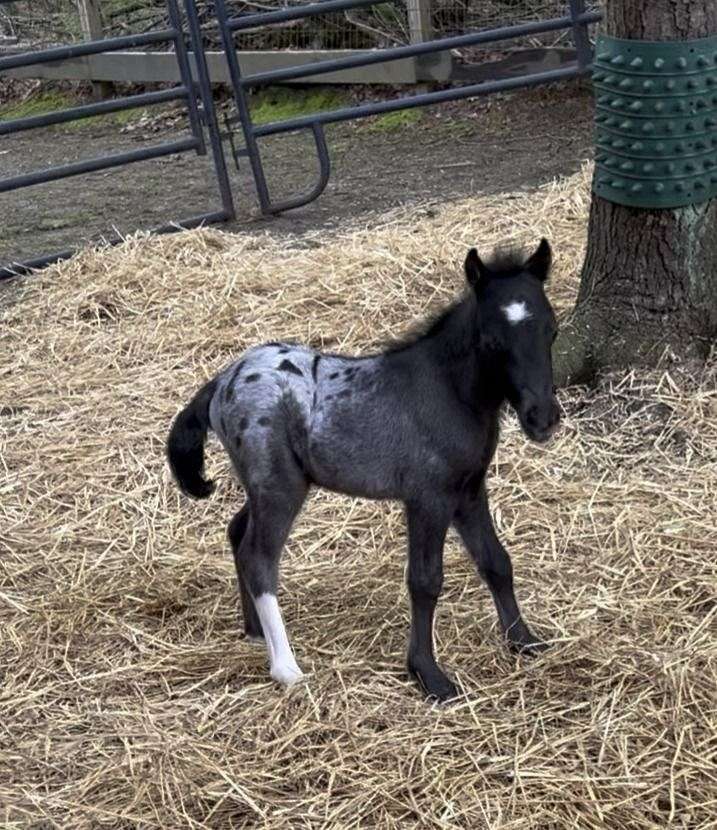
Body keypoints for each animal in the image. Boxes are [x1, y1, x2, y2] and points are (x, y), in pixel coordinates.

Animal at [166, 238, 560, 701]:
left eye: (551, 329)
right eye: (494, 341)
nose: (542, 418)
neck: (447, 391)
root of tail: (222, 381)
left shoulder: (468, 491)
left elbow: (496, 562)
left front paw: (523, 640)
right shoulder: (428, 499)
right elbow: (425, 580)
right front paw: (429, 675)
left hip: (267, 486)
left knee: (236, 531)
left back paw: (255, 632)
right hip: (280, 487)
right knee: (258, 556)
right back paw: (286, 668)